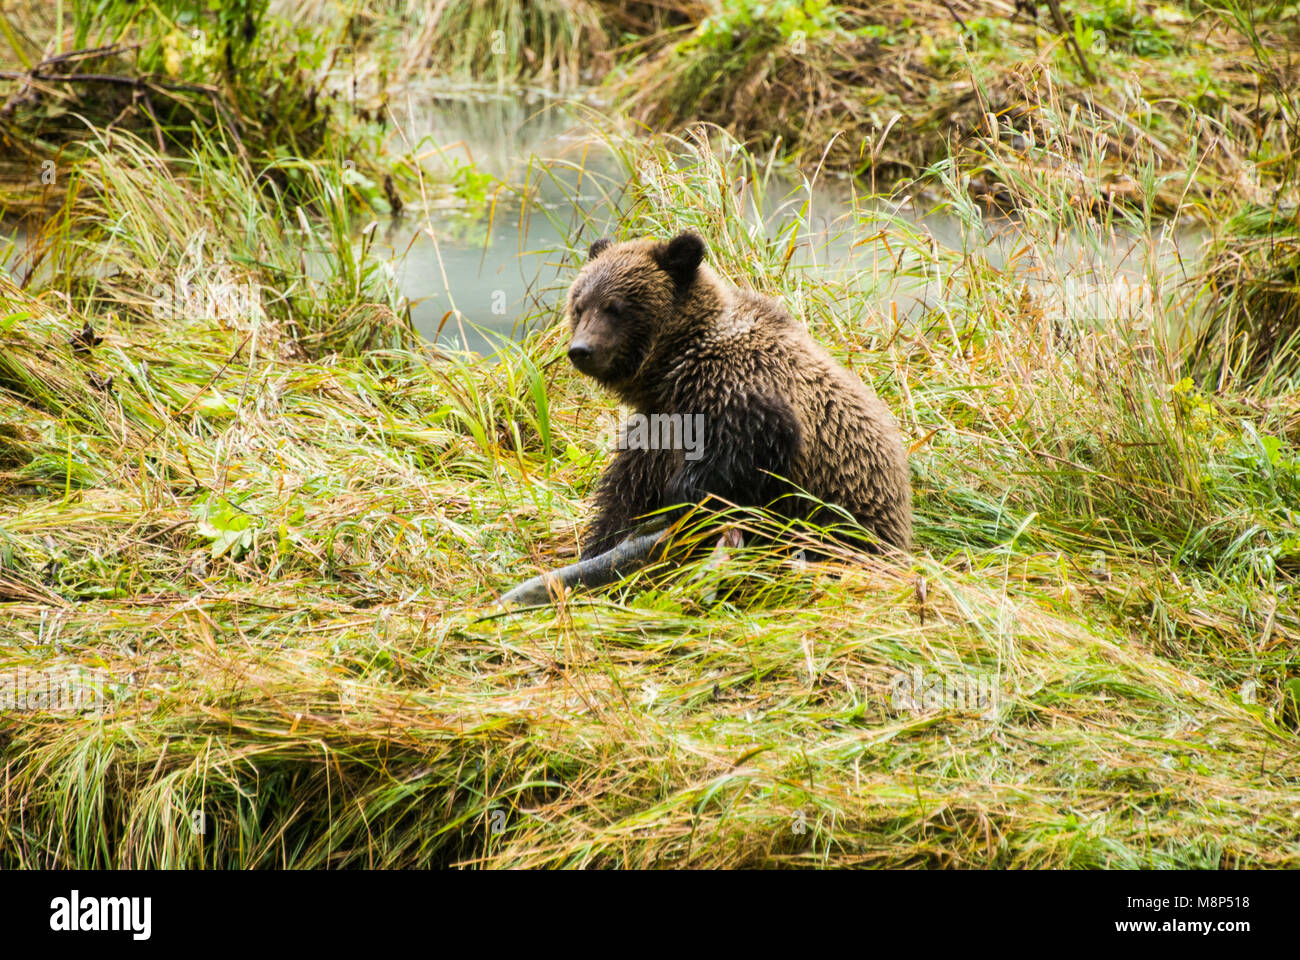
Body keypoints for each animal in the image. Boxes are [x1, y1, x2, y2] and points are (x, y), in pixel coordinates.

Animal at [566, 230, 912, 561]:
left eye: (615, 308)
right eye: (579, 306)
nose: (581, 350)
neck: (674, 366)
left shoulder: (742, 397)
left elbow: (732, 461)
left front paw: (685, 502)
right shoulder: (656, 431)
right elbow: (624, 498)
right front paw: (600, 546)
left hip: (843, 513)